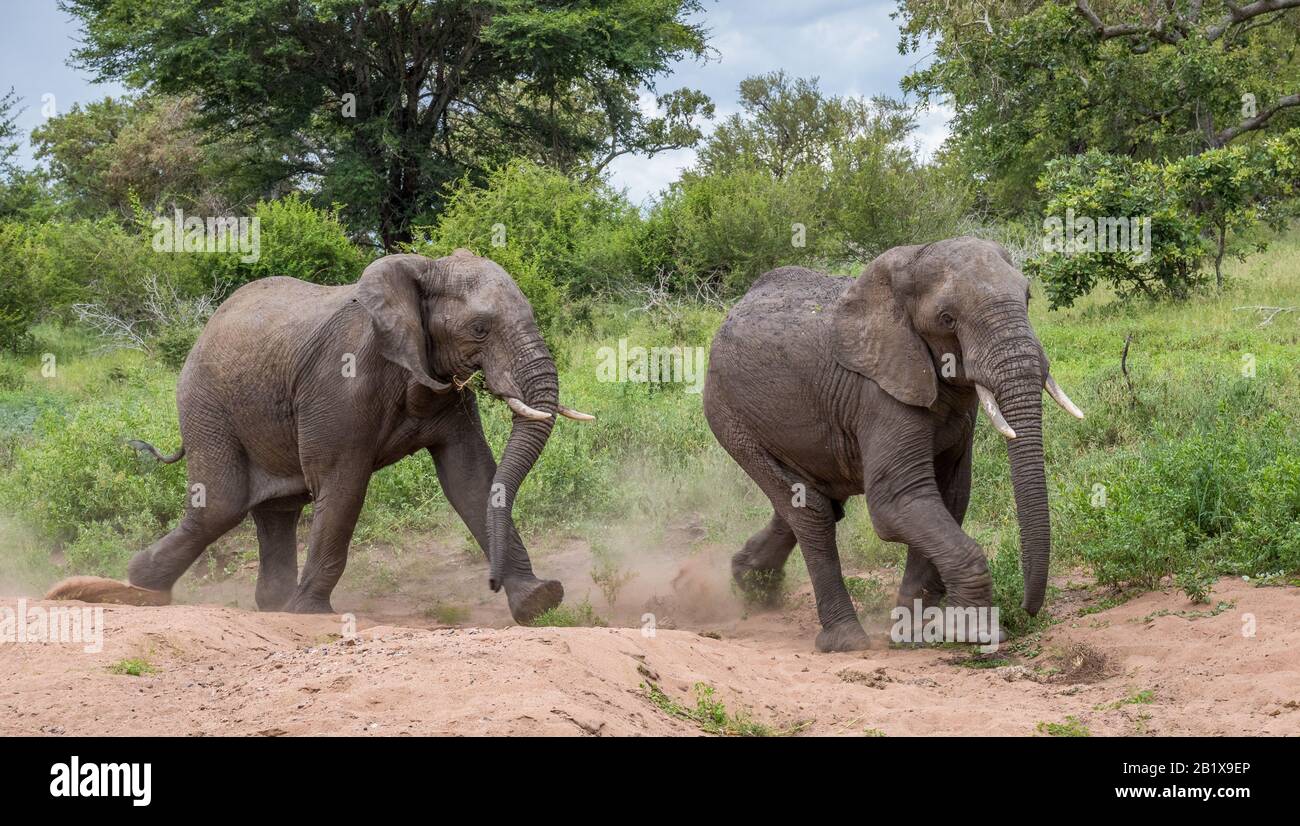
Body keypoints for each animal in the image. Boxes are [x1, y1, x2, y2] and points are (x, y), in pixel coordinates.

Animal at [123, 249, 592, 622]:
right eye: (480, 328)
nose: (491, 583)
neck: (423, 268)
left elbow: (472, 479)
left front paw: (539, 601)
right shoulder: (340, 382)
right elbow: (343, 485)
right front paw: (311, 614)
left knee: (277, 509)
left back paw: (271, 605)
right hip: (205, 404)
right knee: (221, 505)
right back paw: (139, 584)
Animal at [702, 236, 1083, 652]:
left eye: (1028, 297)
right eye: (947, 319)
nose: (1030, 609)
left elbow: (948, 497)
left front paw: (914, 631)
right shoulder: (879, 392)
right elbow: (898, 502)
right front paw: (973, 633)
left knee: (810, 500)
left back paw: (751, 587)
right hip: (730, 416)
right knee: (811, 513)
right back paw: (846, 641)